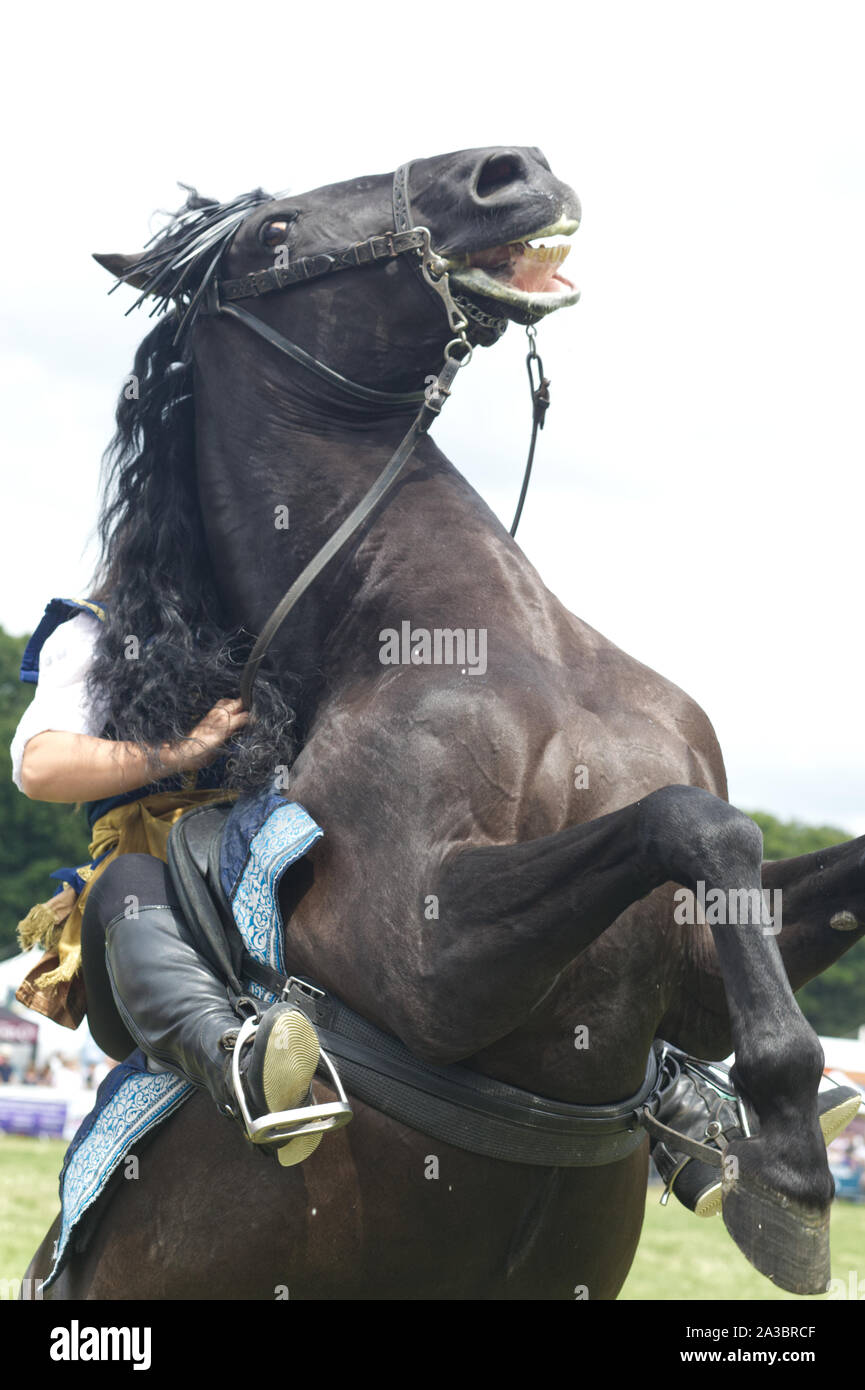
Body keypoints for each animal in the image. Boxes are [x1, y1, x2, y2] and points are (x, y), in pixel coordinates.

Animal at [26, 146, 865, 1300]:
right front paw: (788, 1171)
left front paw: (778, 1135)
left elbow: (743, 859)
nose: (511, 171)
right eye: (277, 233)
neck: (493, 639)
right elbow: (686, 821)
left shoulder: (689, 980)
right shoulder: (429, 961)